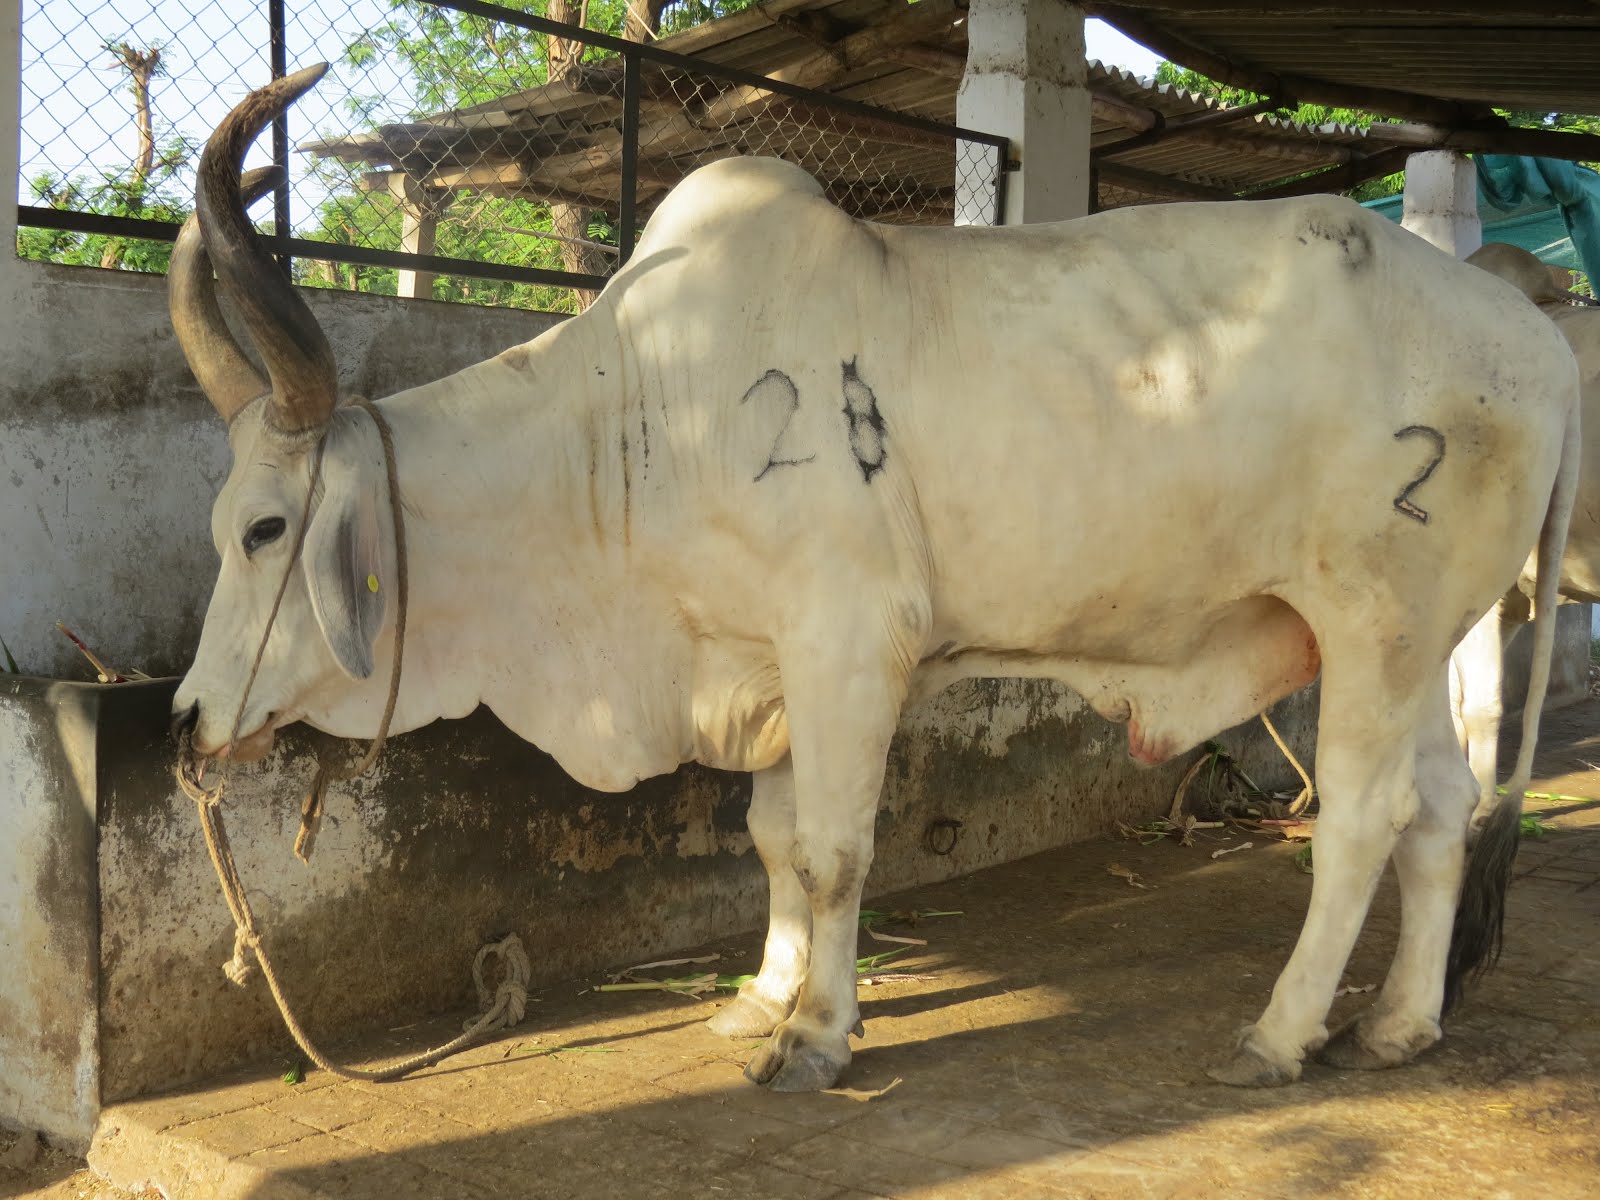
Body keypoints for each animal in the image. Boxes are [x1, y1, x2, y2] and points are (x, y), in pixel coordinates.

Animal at [169, 65, 1578, 1093]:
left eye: (263, 528)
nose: (186, 722)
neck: (631, 424)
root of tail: (1536, 334)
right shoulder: (767, 663)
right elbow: (772, 841)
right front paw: (762, 997)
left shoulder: (847, 641)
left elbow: (836, 852)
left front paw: (817, 1035)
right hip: (1416, 640)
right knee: (1441, 806)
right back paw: (1399, 1024)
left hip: (1375, 620)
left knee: (1357, 819)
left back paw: (1281, 1035)